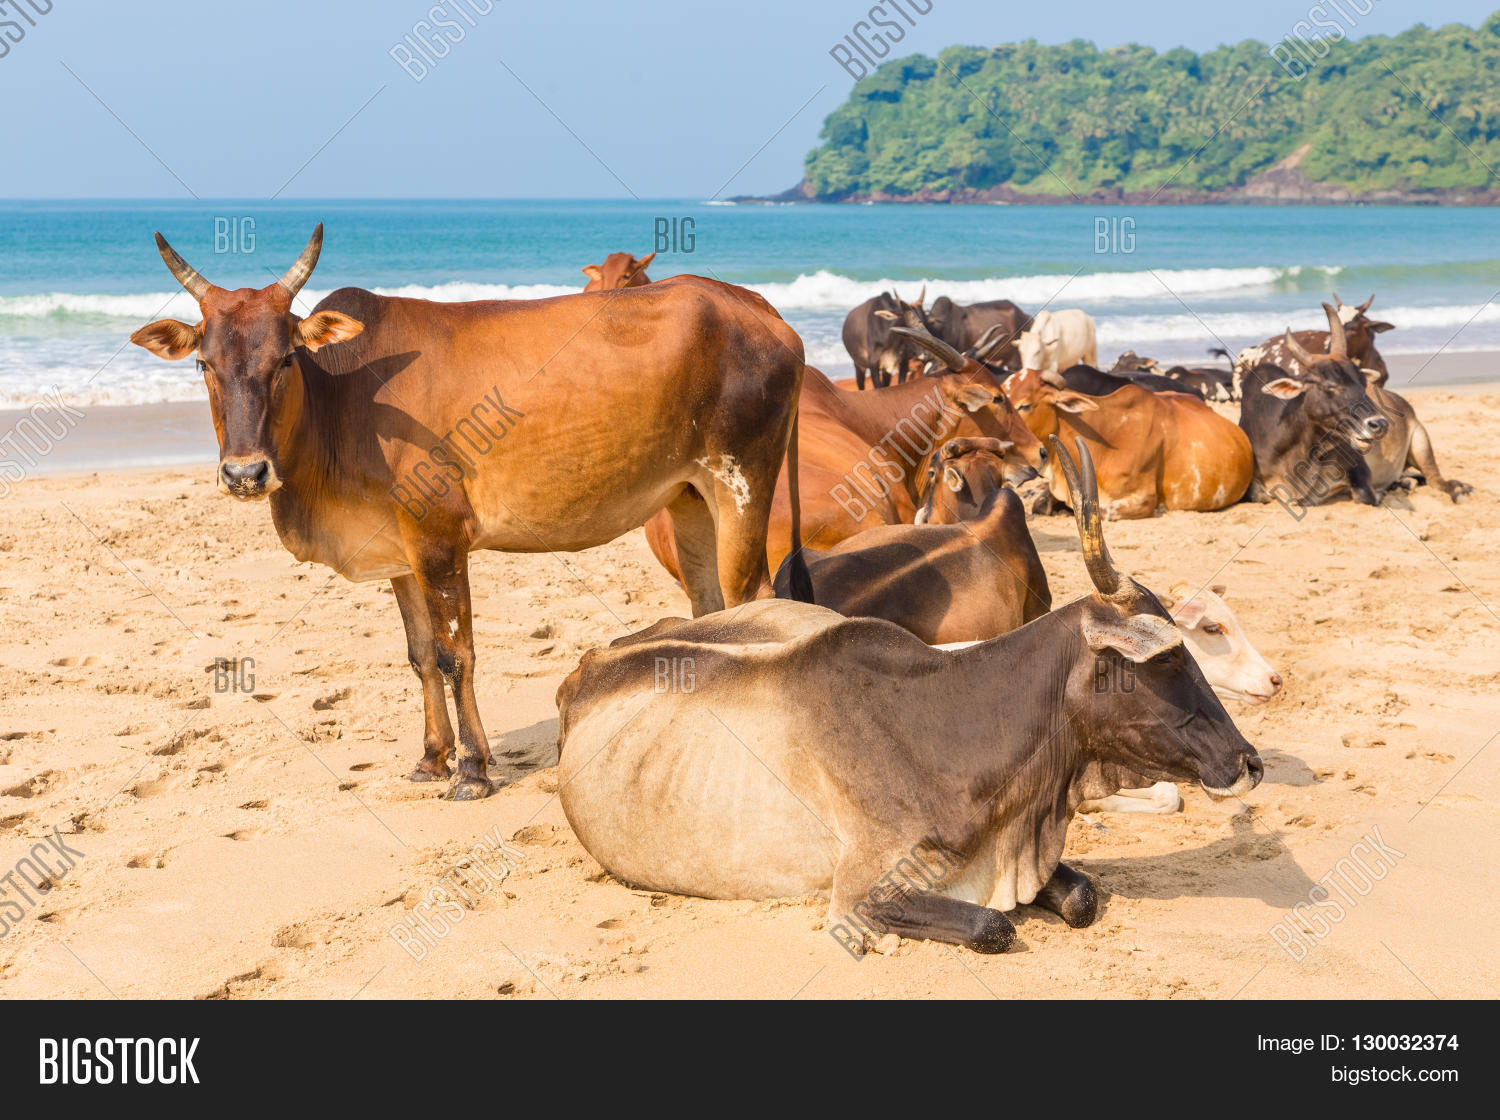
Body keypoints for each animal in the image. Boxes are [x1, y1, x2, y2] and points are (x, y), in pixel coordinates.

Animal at [129, 225, 810, 802]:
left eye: (285, 360)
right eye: (204, 363)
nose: (245, 473)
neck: (342, 398)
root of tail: (753, 305)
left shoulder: (439, 540)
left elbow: (457, 655)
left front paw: (473, 770)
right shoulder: (400, 553)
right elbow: (420, 656)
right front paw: (432, 759)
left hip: (741, 484)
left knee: (754, 595)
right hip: (690, 498)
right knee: (709, 607)